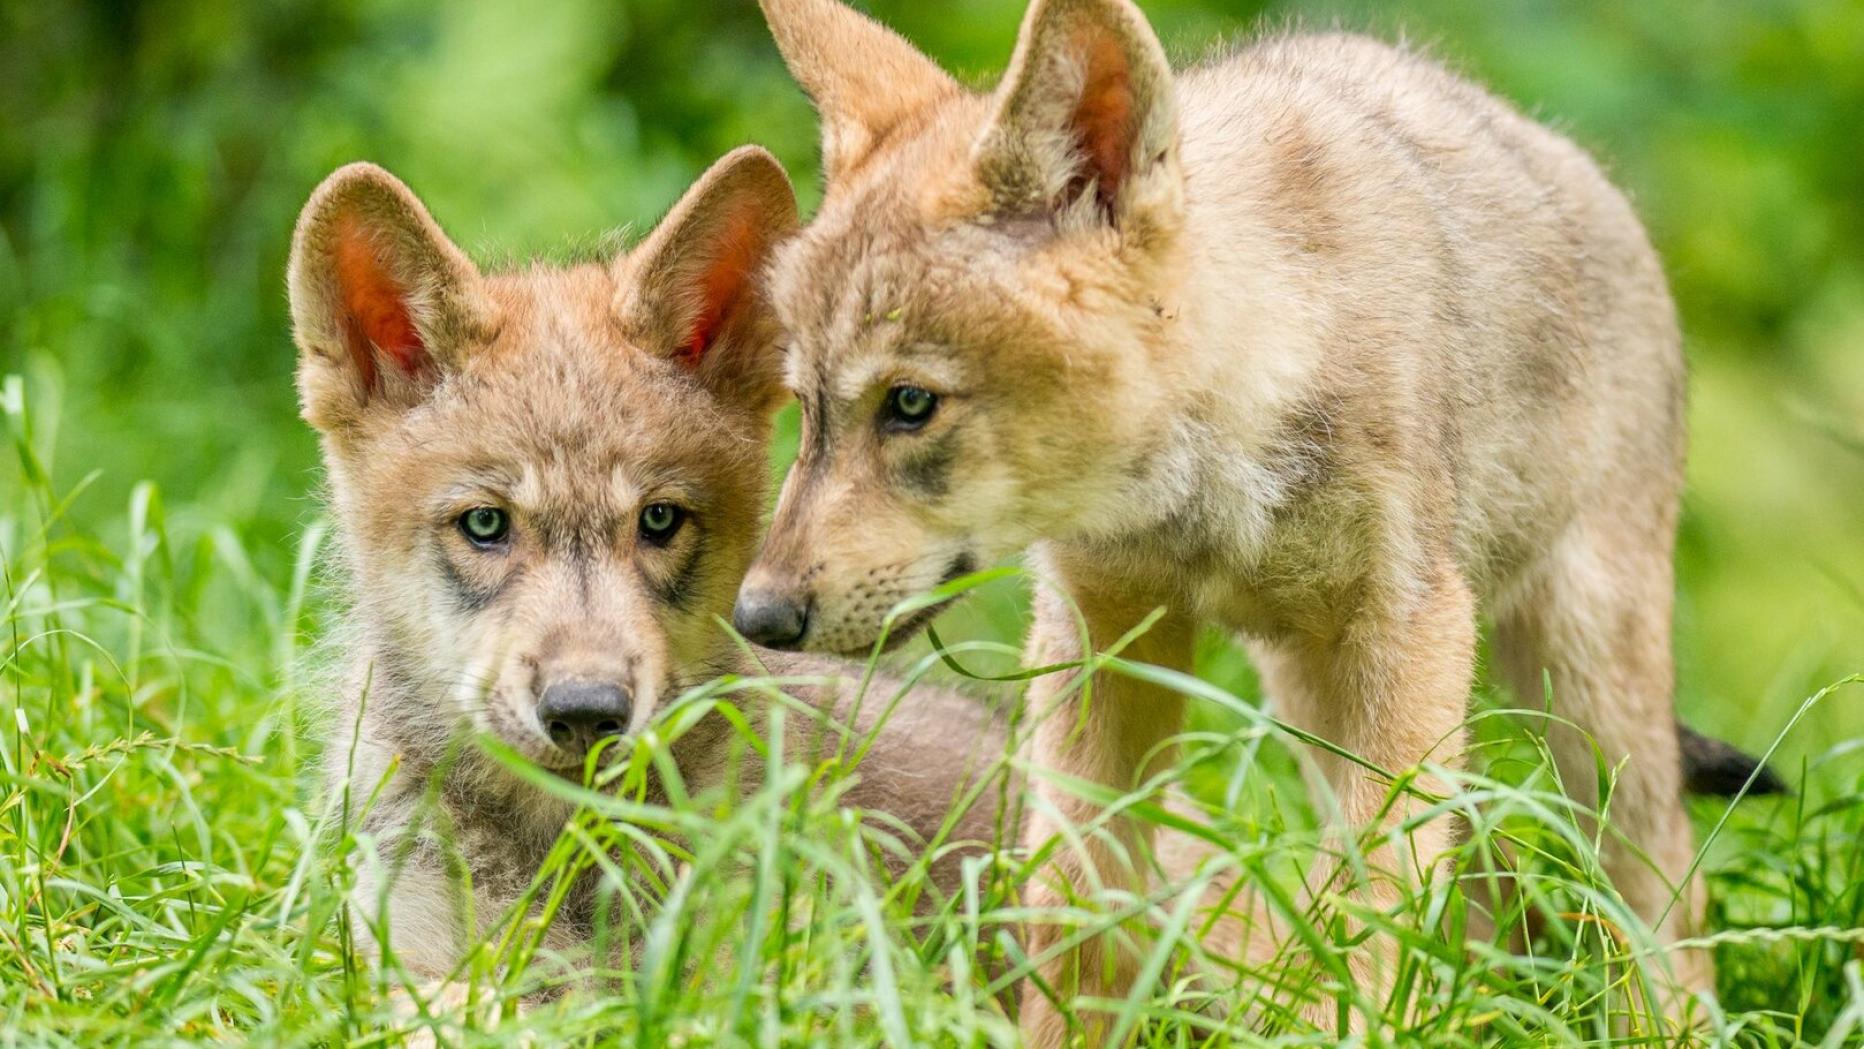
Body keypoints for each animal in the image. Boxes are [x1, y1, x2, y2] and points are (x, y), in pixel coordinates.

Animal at [735, 0, 1781, 1039]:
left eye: (910, 404)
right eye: (808, 409)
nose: (756, 617)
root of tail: (1577, 166)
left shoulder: (1415, 631)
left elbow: (1372, 907)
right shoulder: (1100, 635)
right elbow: (1076, 903)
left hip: (1582, 698)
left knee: (1658, 893)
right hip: (1317, 706)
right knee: (1493, 897)